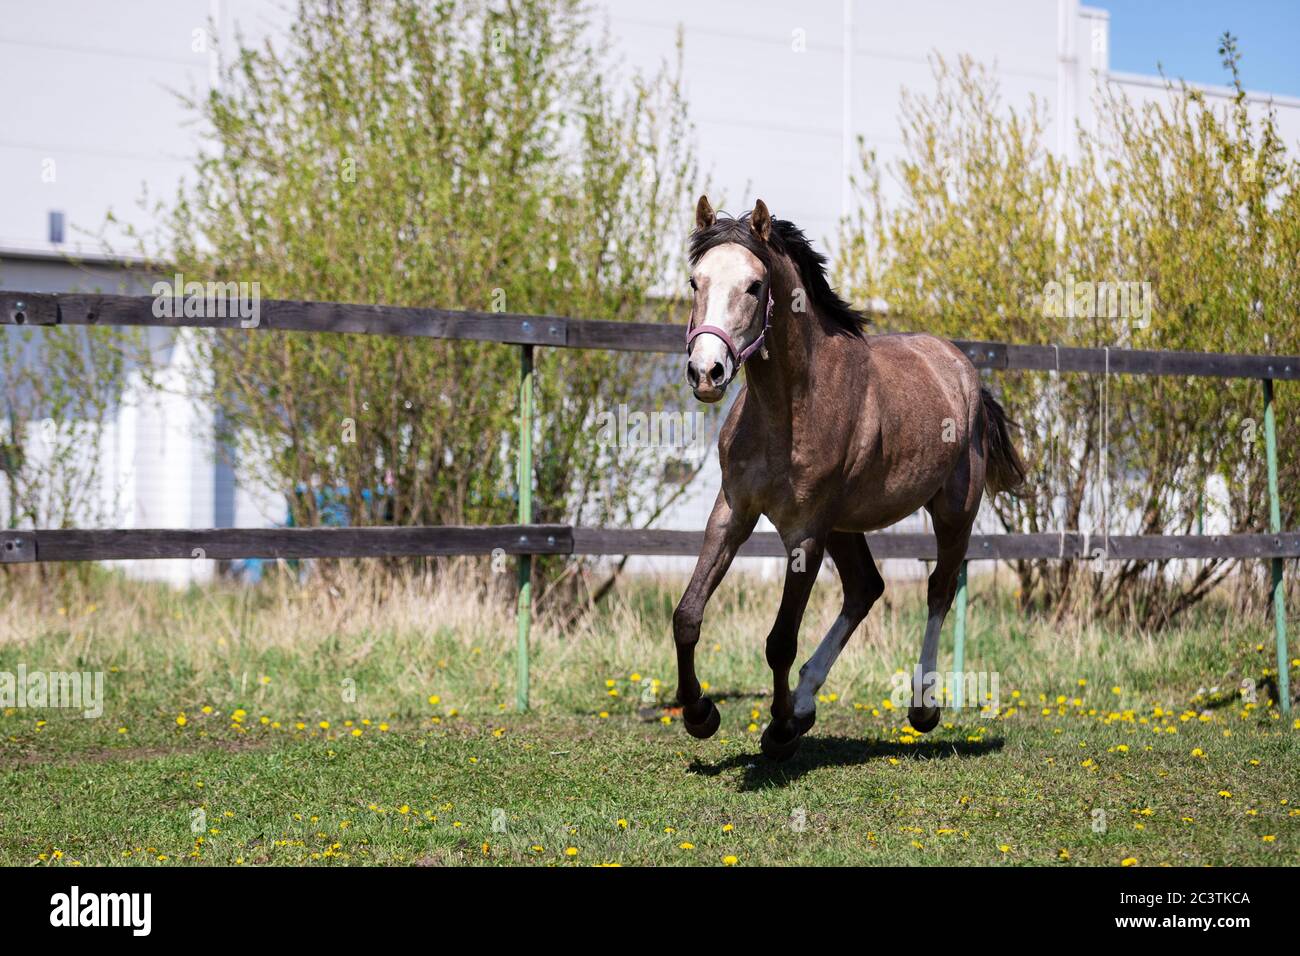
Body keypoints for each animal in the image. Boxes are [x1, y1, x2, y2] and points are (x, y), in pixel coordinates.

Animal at [675, 195, 1026, 761]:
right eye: (695, 281)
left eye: (754, 285)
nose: (707, 372)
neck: (789, 408)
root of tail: (963, 368)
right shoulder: (732, 513)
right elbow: (688, 615)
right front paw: (701, 714)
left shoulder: (806, 534)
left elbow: (780, 640)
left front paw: (777, 732)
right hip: (845, 526)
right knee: (866, 588)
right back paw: (805, 704)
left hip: (953, 512)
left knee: (939, 590)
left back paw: (921, 708)